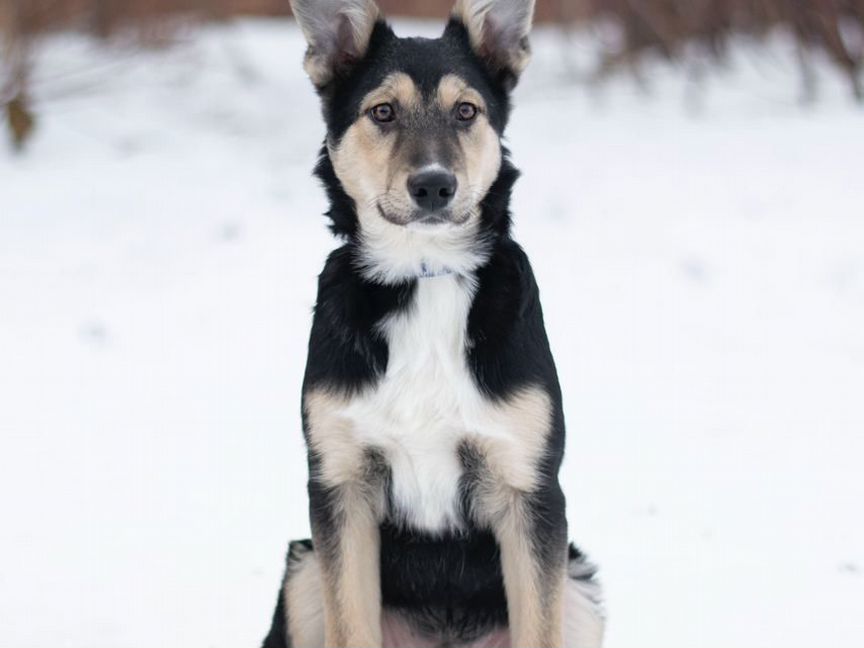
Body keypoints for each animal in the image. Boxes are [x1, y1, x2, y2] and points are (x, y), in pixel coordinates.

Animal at [260, 1, 604, 648]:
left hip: (580, 587)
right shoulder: (340, 485)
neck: (424, 274)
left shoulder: (529, 489)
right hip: (303, 569)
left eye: (466, 111)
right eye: (383, 112)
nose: (434, 185)